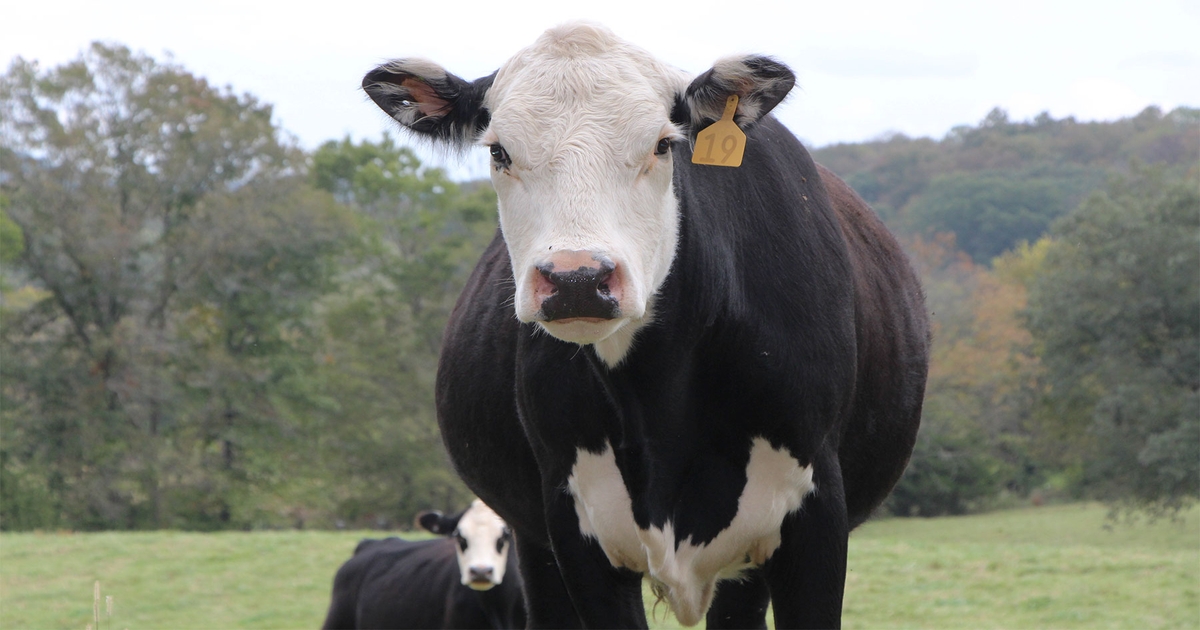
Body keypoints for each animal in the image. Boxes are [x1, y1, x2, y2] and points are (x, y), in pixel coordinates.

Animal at [362, 22, 929, 629]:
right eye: (499, 150)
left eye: (662, 144)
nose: (577, 278)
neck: (660, 400)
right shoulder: (574, 531)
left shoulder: (816, 520)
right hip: (536, 548)